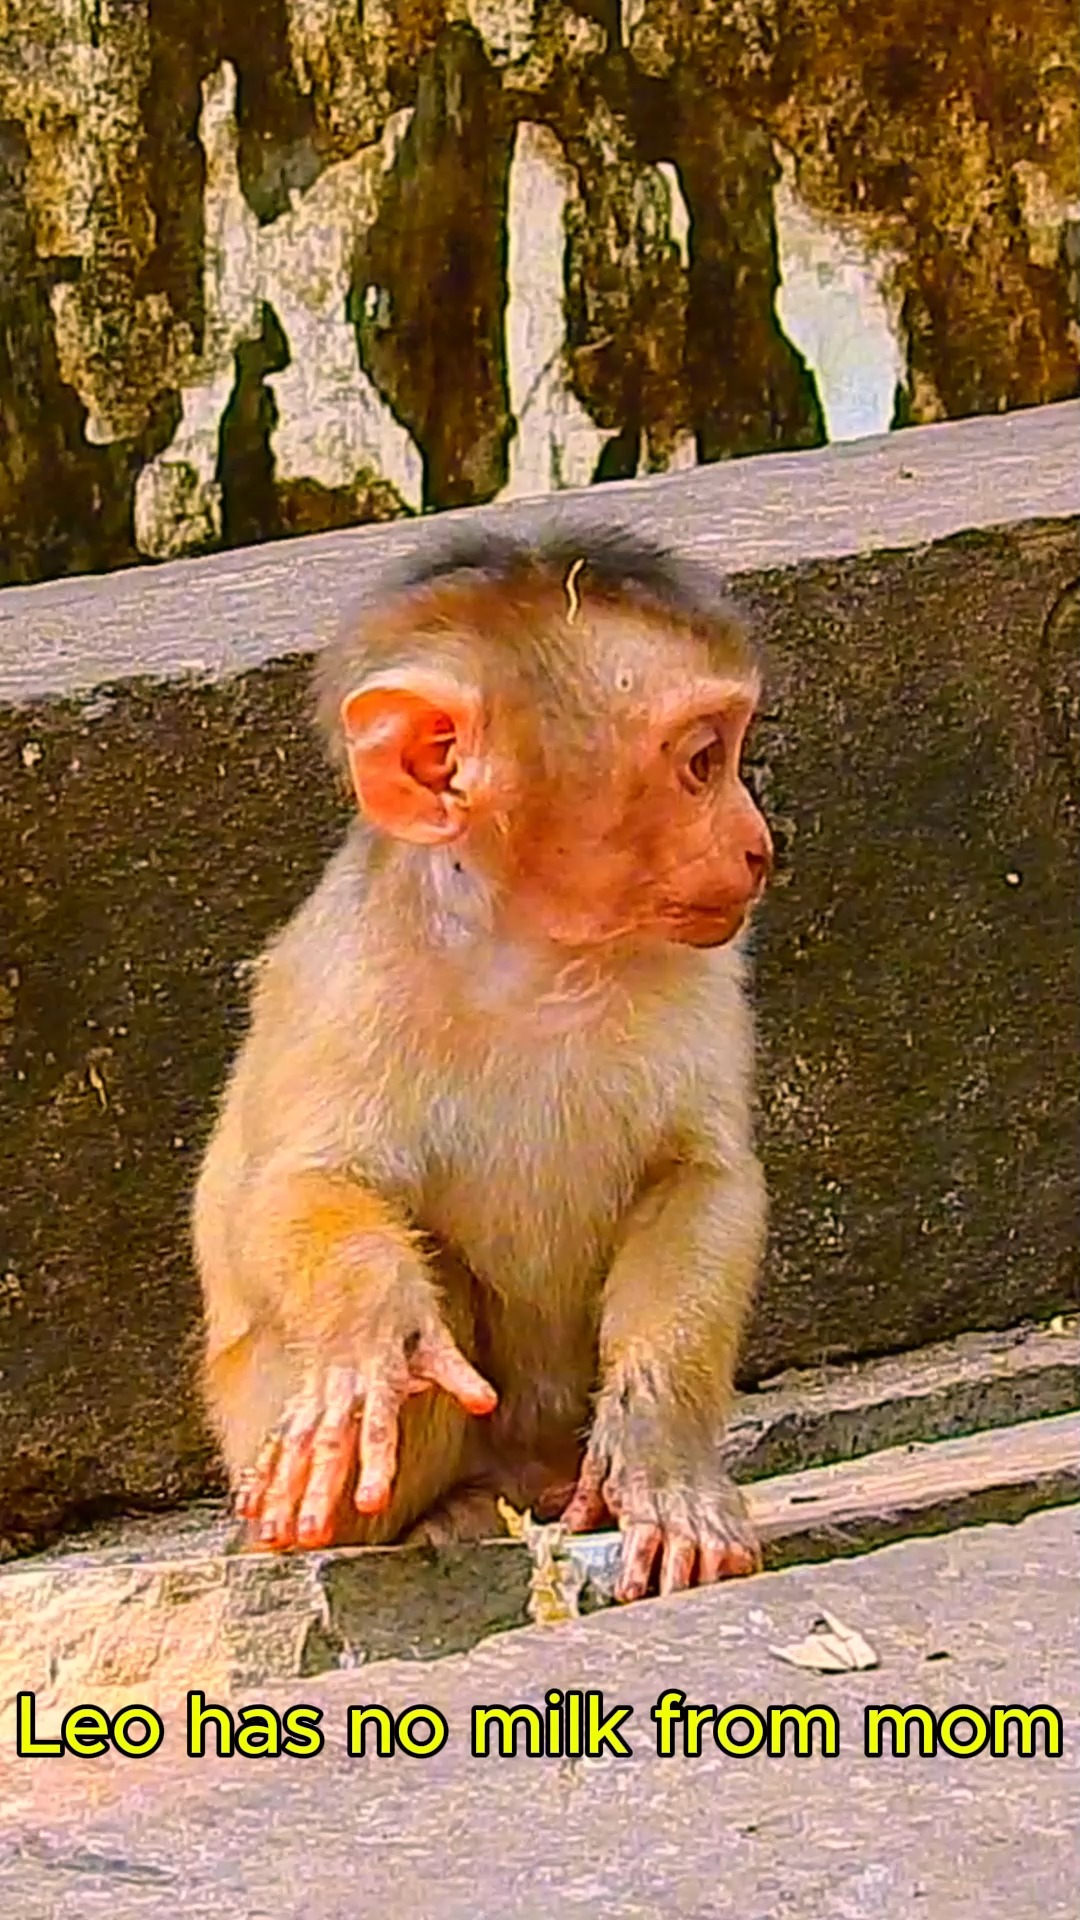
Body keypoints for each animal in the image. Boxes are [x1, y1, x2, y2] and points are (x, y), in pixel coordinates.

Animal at [193, 526, 773, 1604]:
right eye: (702, 762)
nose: (759, 846)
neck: (538, 952)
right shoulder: (351, 980)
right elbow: (296, 1188)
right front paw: (376, 1329)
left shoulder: (706, 965)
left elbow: (699, 1177)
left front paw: (665, 1468)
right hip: (258, 1434)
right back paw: (425, 1514)